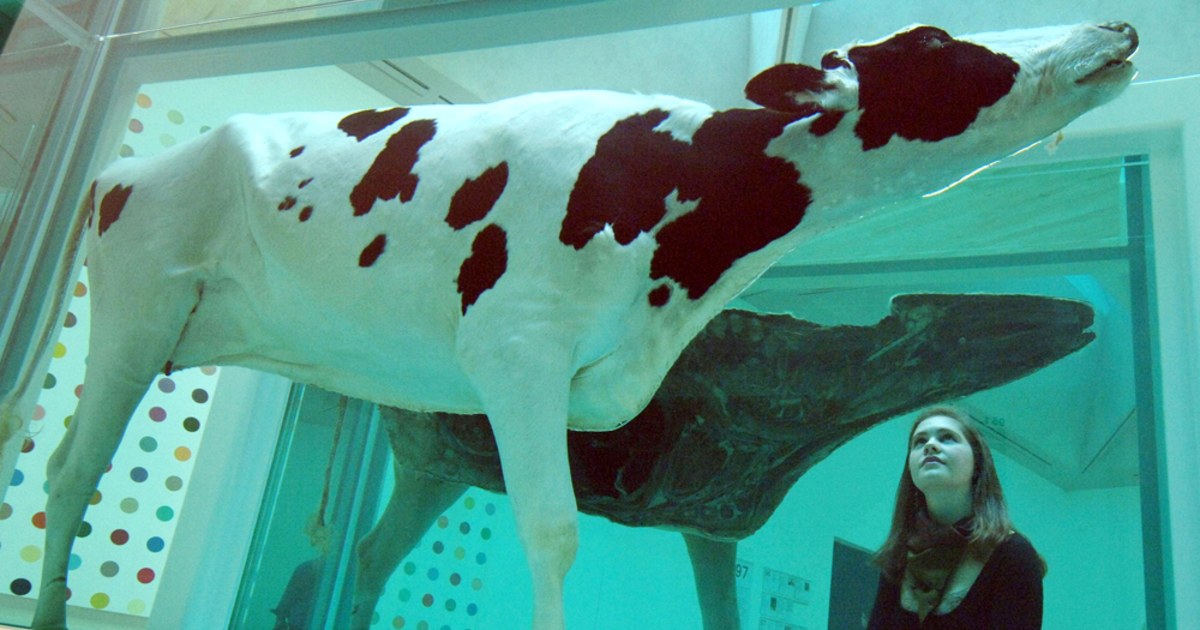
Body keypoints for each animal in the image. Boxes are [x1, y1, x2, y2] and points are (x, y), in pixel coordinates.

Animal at [7, 21, 1134, 630]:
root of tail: (126, 163)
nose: (1116, 30)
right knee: (71, 470)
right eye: (936, 42)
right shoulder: (518, 352)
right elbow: (550, 533)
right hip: (140, 314)